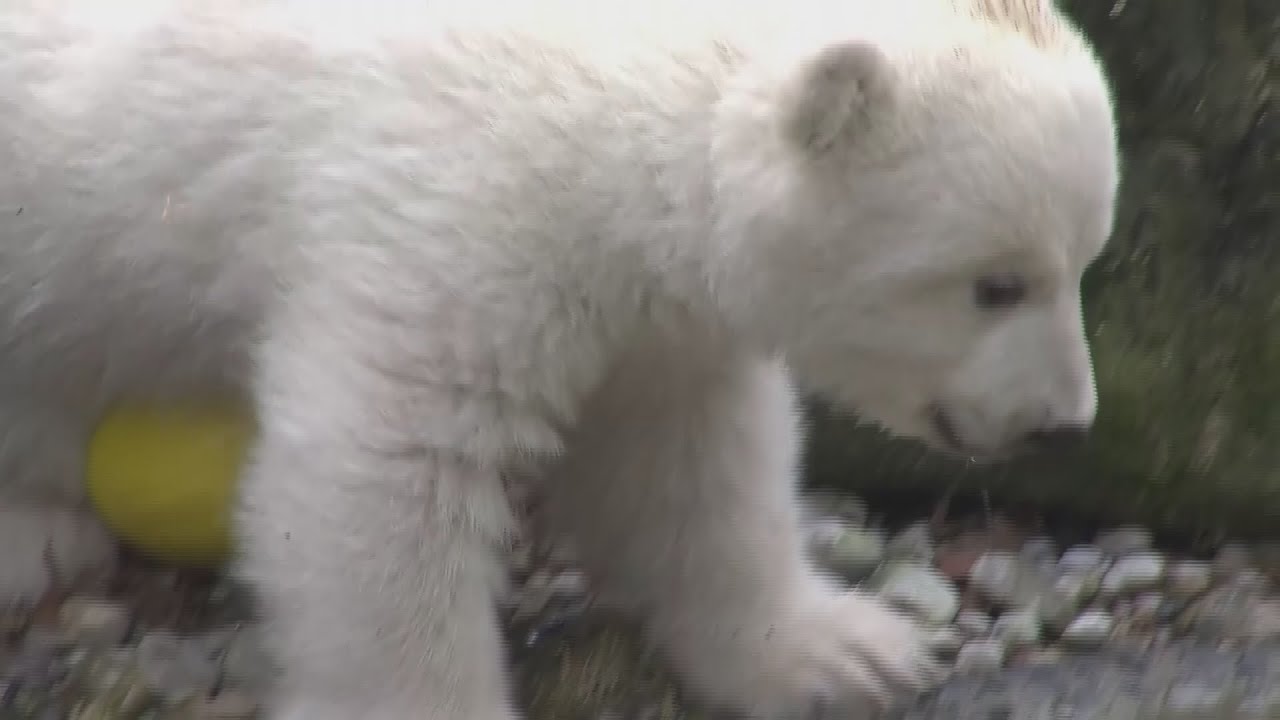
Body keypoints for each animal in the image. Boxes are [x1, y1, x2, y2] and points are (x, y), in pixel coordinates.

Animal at [0, 0, 1119, 717]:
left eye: (1083, 261)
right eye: (994, 283)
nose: (1060, 424)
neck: (610, 76)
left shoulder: (656, 314)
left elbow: (692, 467)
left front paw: (843, 652)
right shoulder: (453, 210)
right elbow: (391, 472)